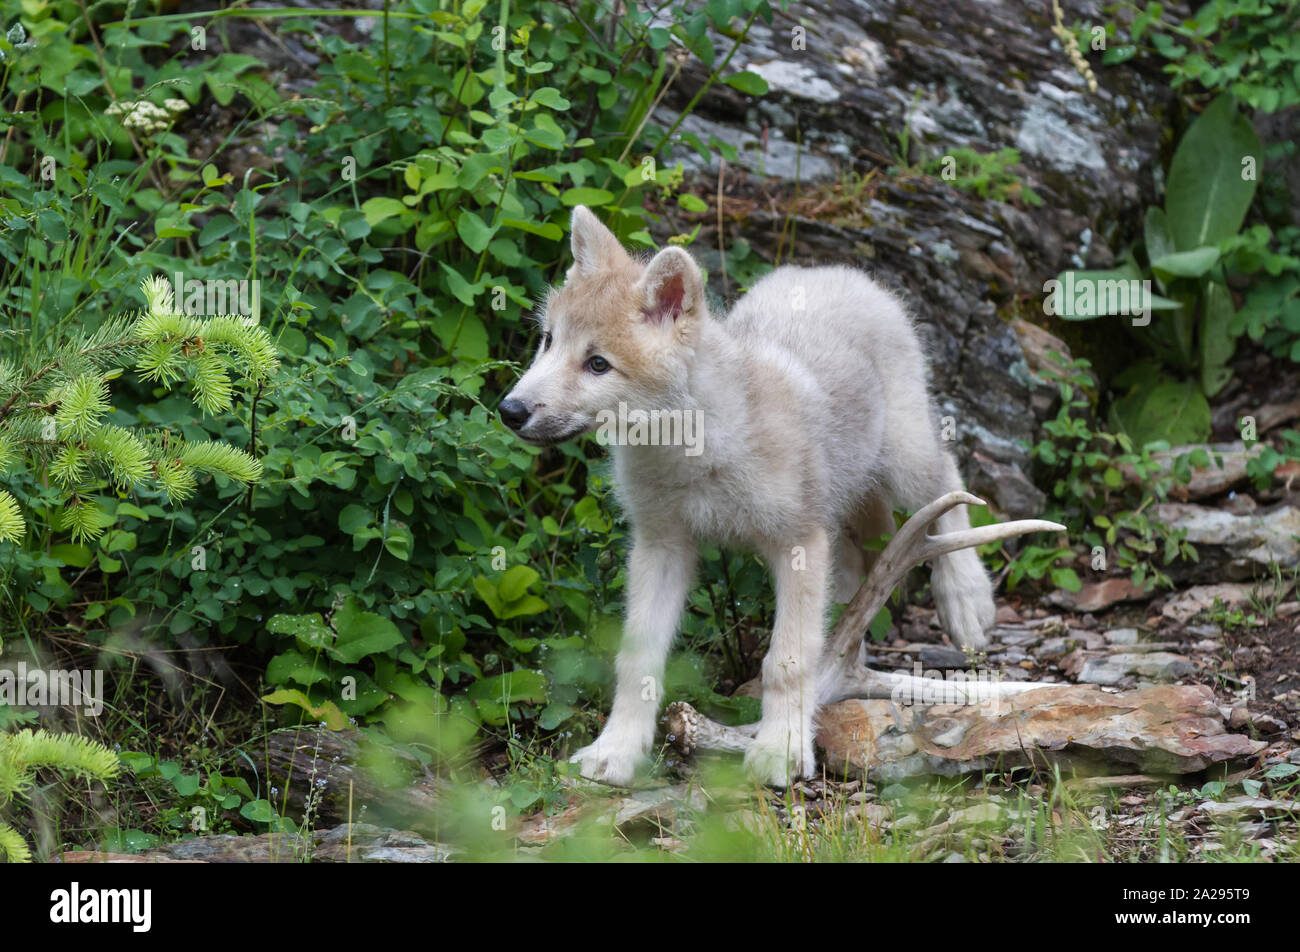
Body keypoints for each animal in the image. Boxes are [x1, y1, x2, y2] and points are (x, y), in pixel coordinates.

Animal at [498, 206, 995, 786]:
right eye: (548, 341)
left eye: (598, 364)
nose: (509, 411)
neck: (694, 450)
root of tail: (835, 270)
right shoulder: (660, 546)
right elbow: (637, 658)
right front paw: (616, 750)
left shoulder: (798, 542)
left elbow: (787, 661)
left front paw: (781, 750)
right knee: (858, 570)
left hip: (904, 457)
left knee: (949, 483)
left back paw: (967, 602)